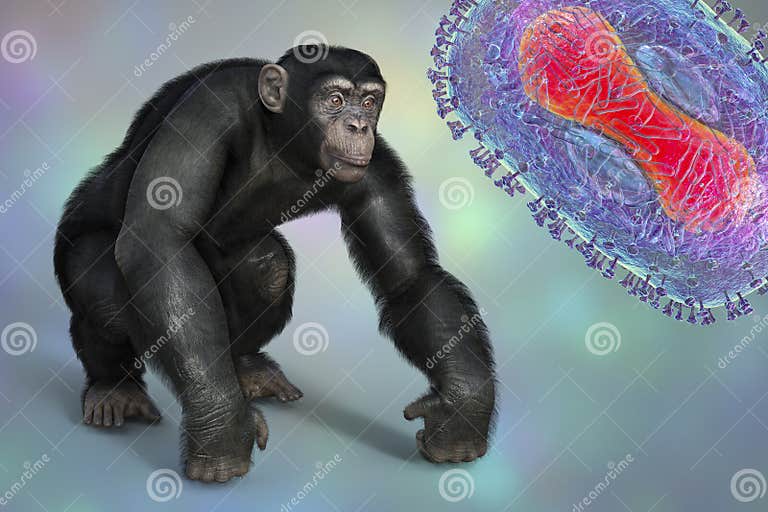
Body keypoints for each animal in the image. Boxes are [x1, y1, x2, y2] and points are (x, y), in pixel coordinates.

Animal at [53, 46, 496, 483]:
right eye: (336, 100)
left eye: (370, 102)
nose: (358, 126)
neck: (282, 141)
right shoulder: (205, 114)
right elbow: (161, 242)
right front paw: (222, 426)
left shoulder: (378, 172)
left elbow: (409, 277)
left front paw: (461, 406)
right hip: (73, 256)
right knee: (106, 295)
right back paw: (115, 387)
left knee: (267, 267)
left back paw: (245, 367)